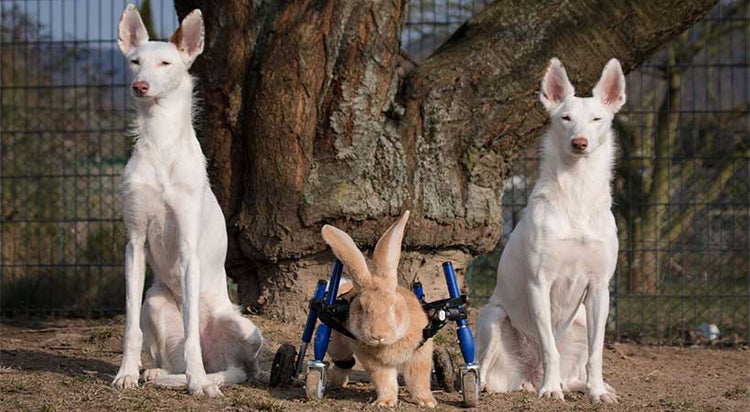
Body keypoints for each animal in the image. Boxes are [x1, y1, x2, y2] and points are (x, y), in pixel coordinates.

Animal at [320, 210, 437, 408]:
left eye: (393, 306)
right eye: (362, 308)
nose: (378, 335)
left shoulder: (419, 354)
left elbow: (419, 379)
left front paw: (427, 402)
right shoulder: (374, 361)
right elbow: (384, 381)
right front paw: (385, 402)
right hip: (335, 345)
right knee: (344, 362)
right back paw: (337, 382)